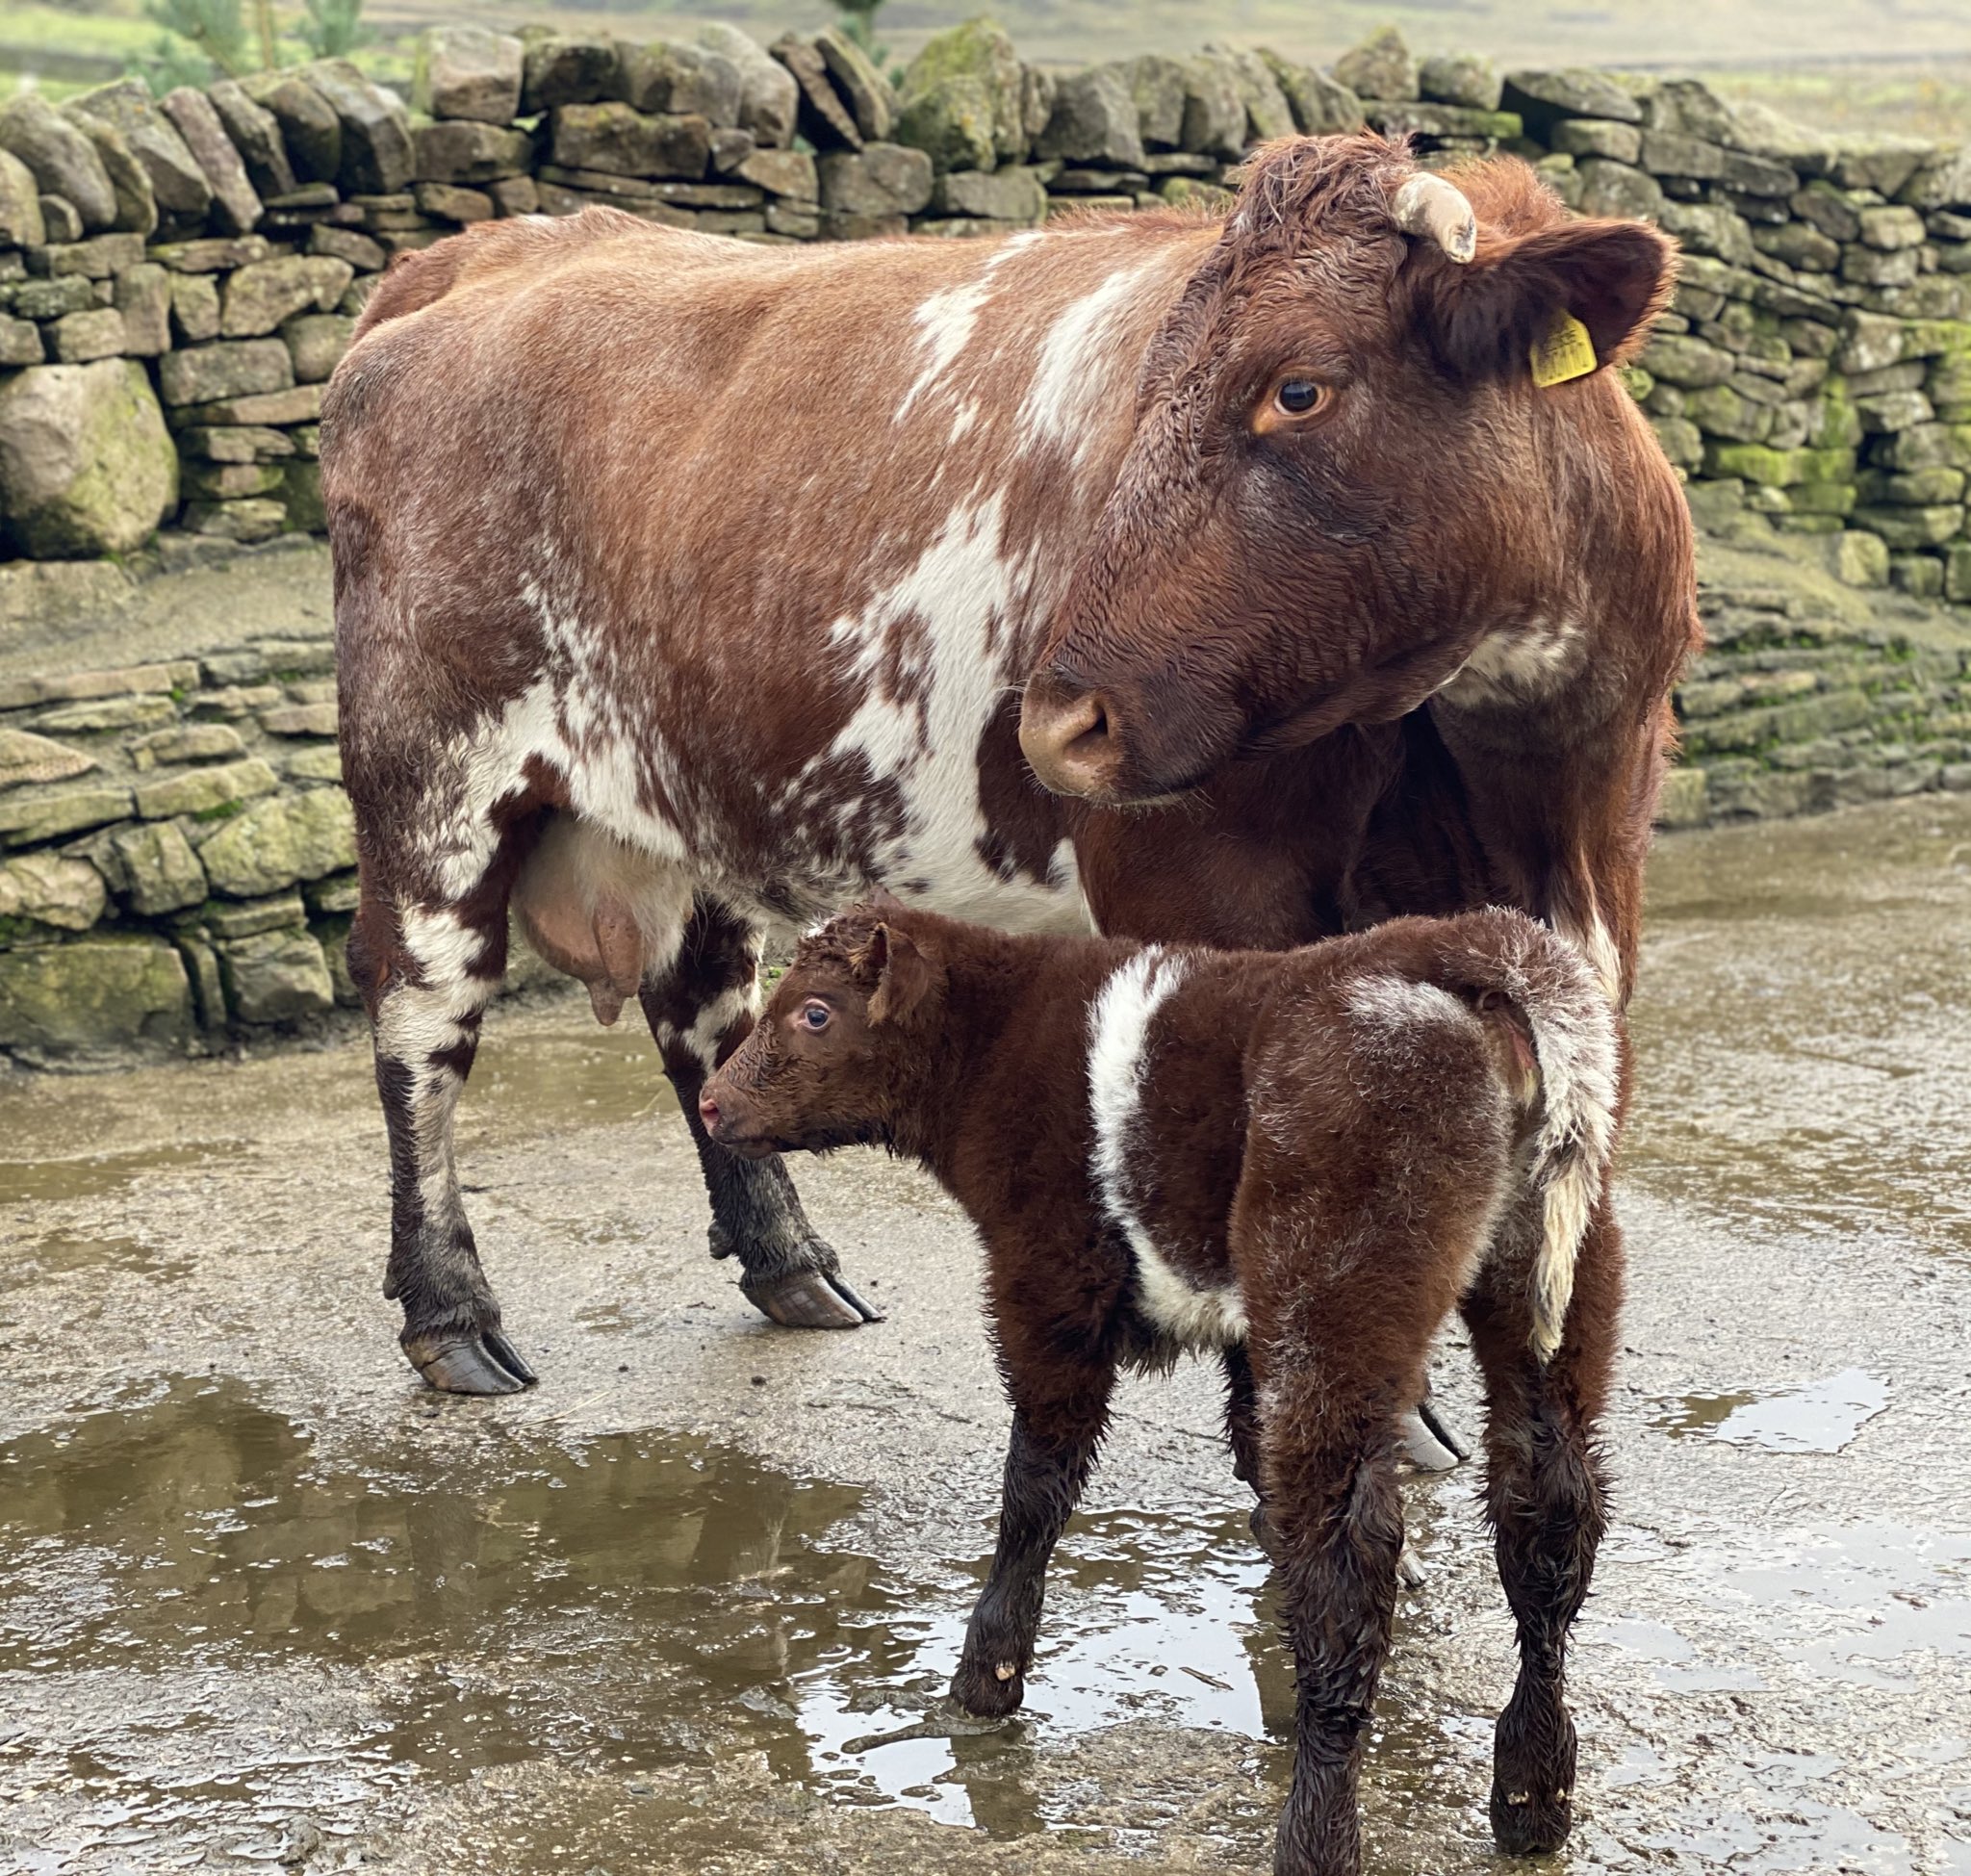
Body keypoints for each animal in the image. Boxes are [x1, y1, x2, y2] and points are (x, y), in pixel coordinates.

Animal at [322, 133, 1693, 1413]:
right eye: (1144, 392)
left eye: (1297, 387)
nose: (1056, 720)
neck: (1507, 785)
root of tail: (496, 249)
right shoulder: (1201, 889)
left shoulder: (1593, 896)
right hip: (432, 786)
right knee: (420, 1016)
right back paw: (452, 1316)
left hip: (680, 795)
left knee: (699, 1005)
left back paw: (789, 1262)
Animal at [698, 898, 1621, 1873]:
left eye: (815, 1012)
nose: (713, 1100)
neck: (1001, 1038)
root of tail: (1462, 950)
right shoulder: (1244, 1339)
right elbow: (1248, 1465)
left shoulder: (1047, 1281)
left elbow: (1036, 1487)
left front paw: (985, 1682)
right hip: (1553, 1284)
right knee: (1547, 1519)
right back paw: (1532, 1795)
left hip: (1333, 1291)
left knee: (1349, 1563)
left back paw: (1316, 1833)